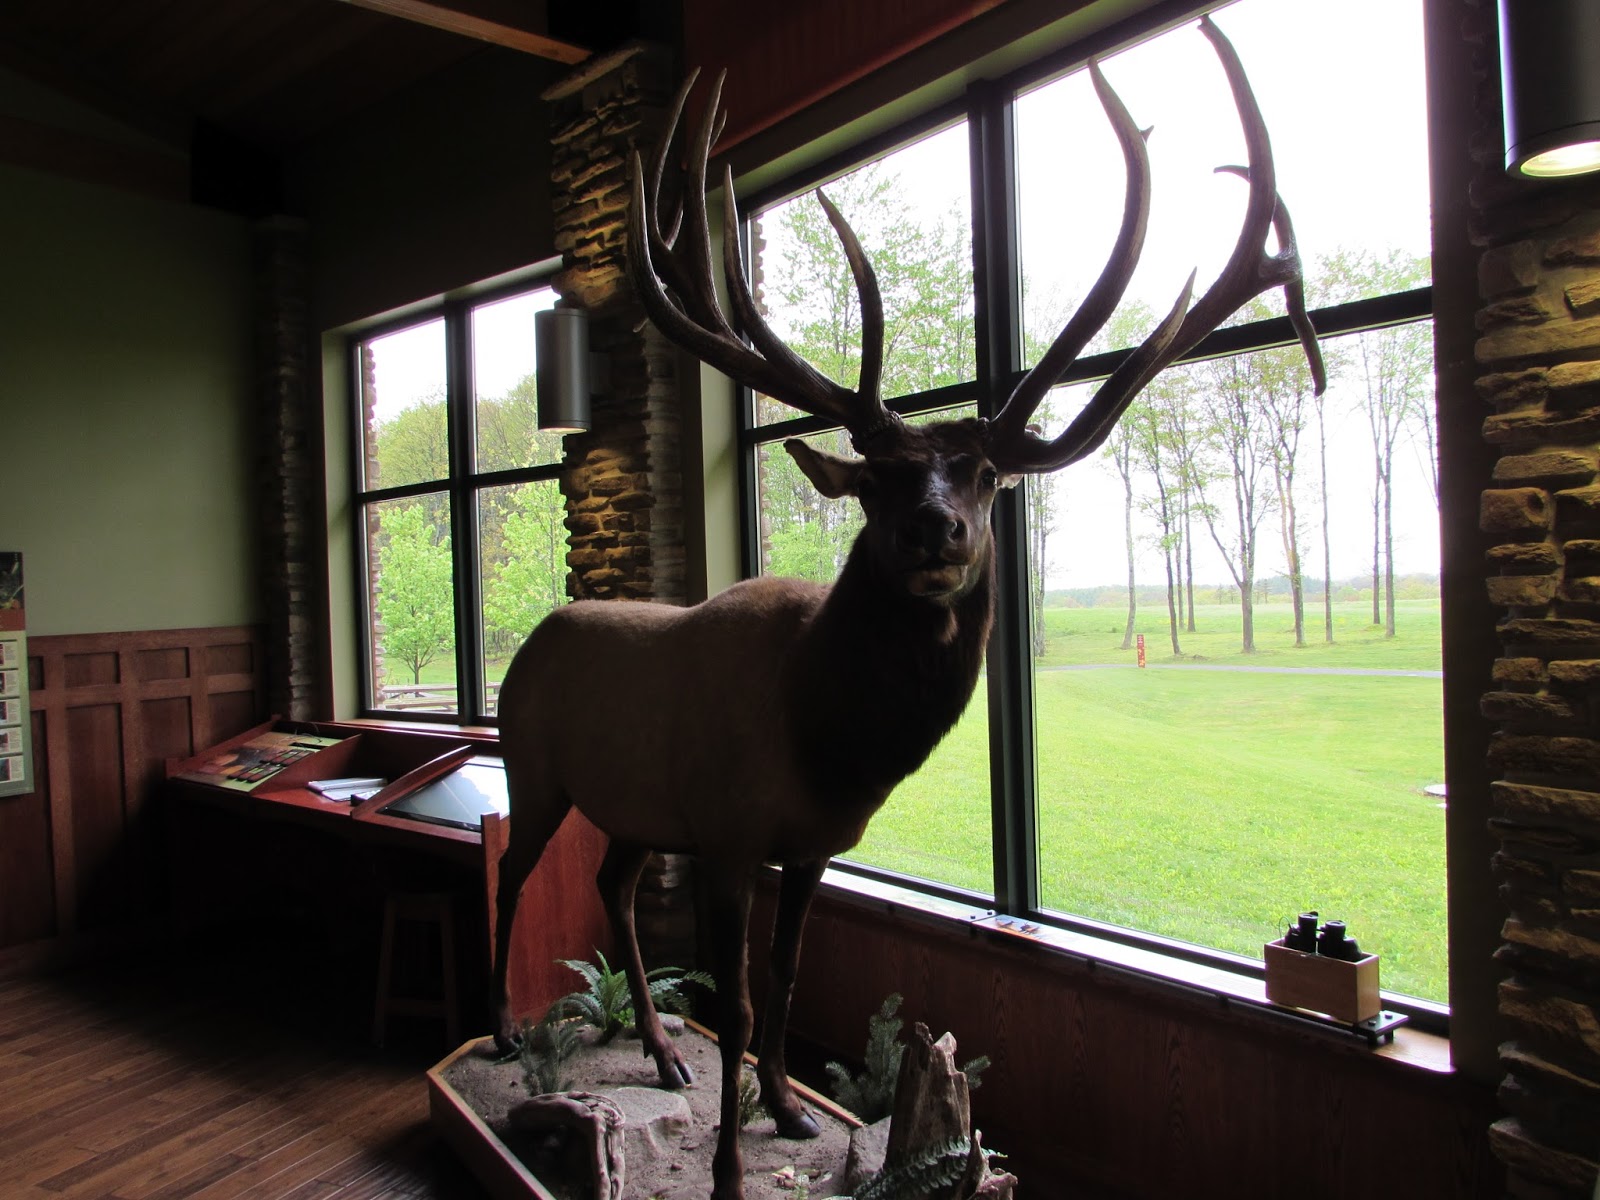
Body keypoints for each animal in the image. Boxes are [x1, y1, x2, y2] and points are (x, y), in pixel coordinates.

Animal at [490, 16, 1324, 1199]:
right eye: (879, 478)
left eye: (982, 471)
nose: (938, 531)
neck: (823, 738)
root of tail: (531, 644)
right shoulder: (730, 833)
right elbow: (739, 999)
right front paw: (729, 1167)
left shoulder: (807, 845)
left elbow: (789, 977)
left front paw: (791, 1113)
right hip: (533, 761)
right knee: (517, 868)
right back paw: (504, 1034)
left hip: (631, 804)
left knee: (609, 883)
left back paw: (656, 1055)